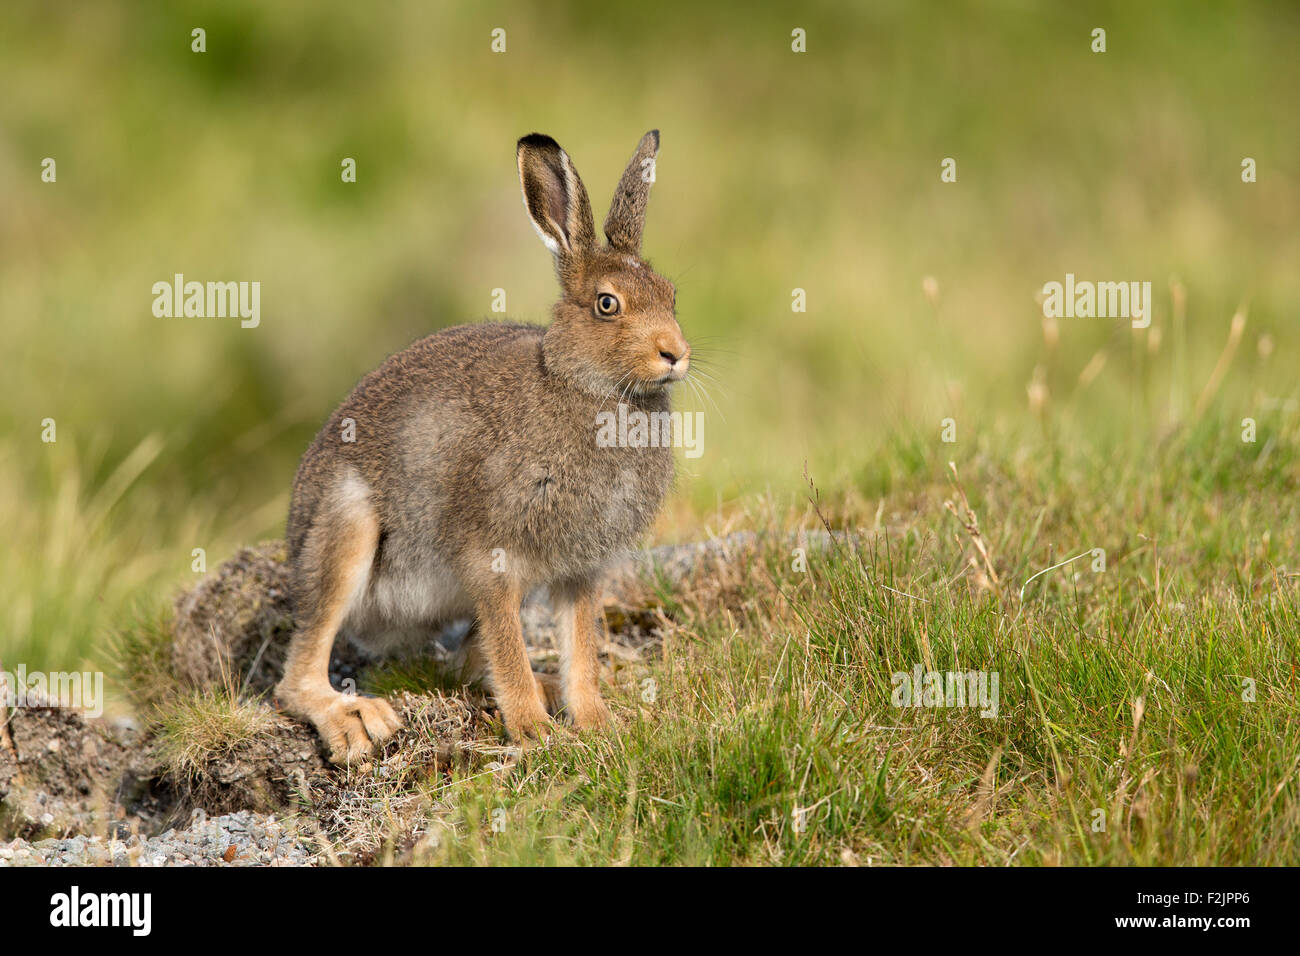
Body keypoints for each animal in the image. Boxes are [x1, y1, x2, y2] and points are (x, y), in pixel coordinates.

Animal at [275, 131, 690, 764]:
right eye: (607, 304)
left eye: (671, 294)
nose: (676, 353)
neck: (585, 385)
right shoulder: (490, 556)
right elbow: (509, 646)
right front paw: (534, 732)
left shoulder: (581, 570)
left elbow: (580, 649)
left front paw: (596, 723)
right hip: (346, 527)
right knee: (299, 673)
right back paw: (356, 722)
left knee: (470, 661)